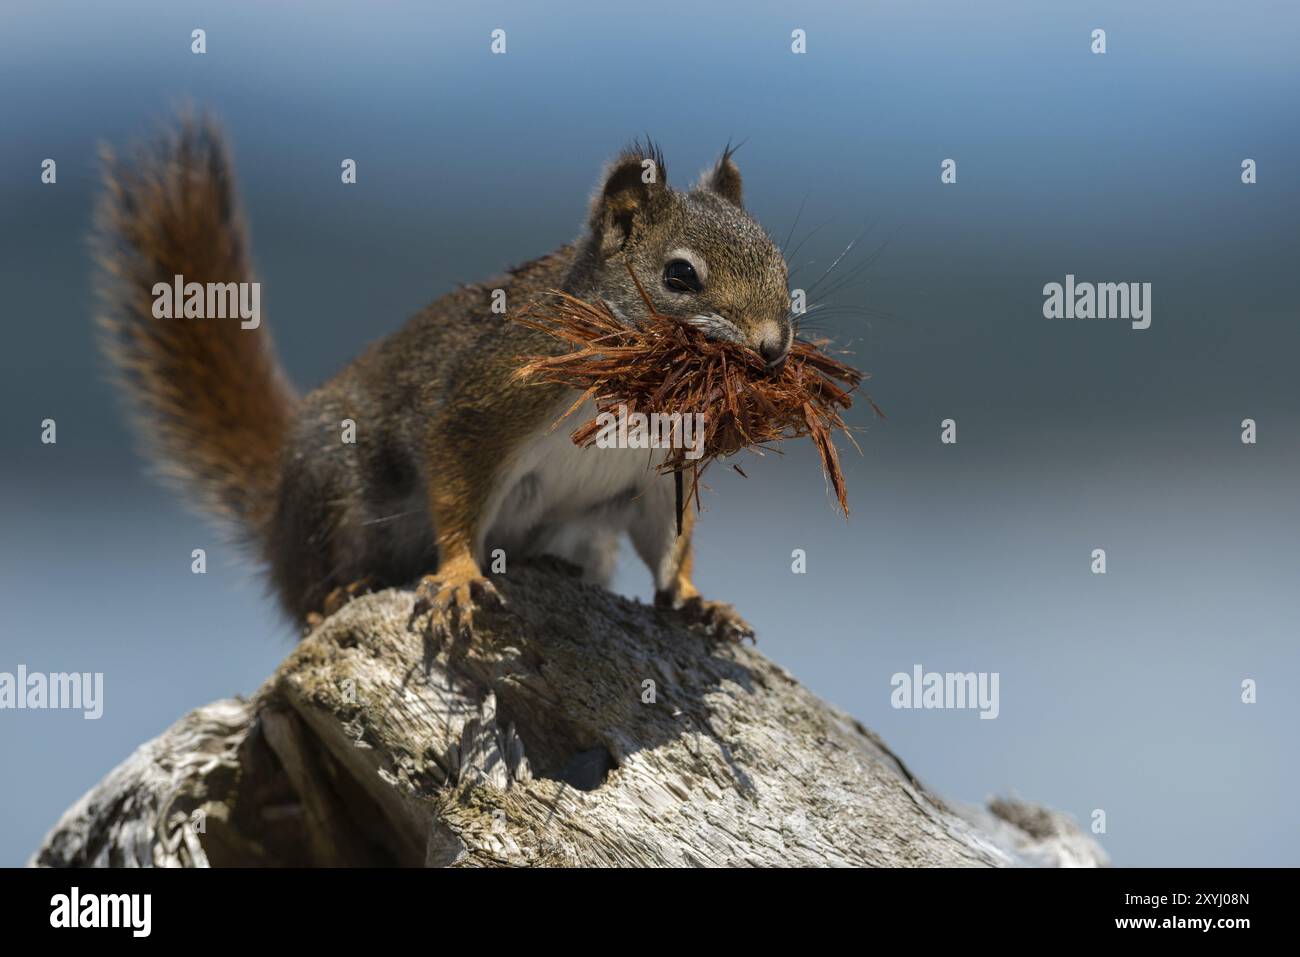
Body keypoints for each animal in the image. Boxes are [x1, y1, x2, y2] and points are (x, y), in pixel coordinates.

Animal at [96, 116, 794, 644]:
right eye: (679, 276)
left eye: (781, 266)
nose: (772, 349)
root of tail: (275, 521)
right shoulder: (489, 399)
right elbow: (457, 486)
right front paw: (458, 576)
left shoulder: (660, 467)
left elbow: (669, 538)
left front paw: (696, 598)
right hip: (336, 485)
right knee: (309, 591)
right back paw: (337, 594)